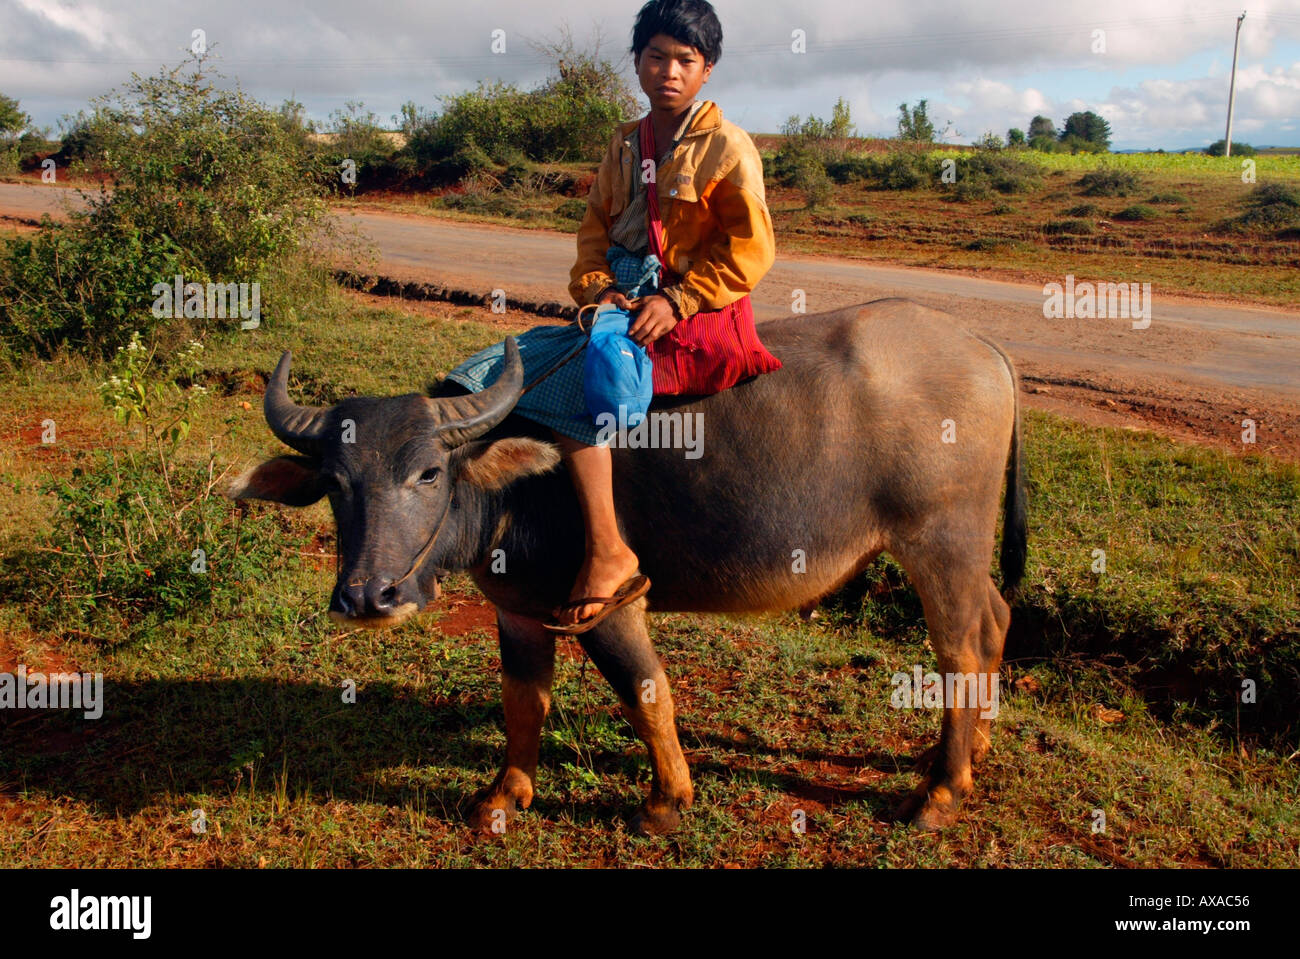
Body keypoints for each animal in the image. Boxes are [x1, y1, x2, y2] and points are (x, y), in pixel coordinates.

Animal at [230, 298, 1026, 834]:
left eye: (428, 472)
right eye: (336, 482)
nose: (370, 596)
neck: (516, 487)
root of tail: (984, 348)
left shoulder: (608, 610)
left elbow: (645, 693)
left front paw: (666, 802)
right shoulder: (518, 608)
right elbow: (524, 701)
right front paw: (504, 793)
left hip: (940, 541)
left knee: (958, 648)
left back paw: (941, 791)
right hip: (960, 553)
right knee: (996, 619)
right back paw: (977, 749)